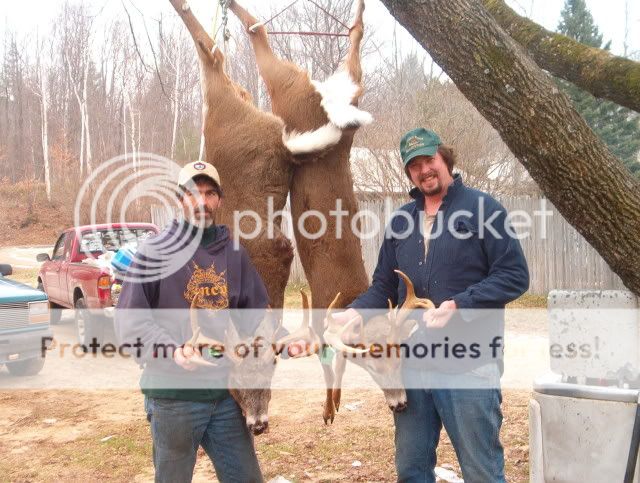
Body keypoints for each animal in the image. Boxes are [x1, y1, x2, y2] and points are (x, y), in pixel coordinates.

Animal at [228, 0, 372, 424]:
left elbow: (333, 370)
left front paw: (332, 408)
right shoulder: (327, 327)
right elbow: (331, 371)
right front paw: (329, 409)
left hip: (295, 89)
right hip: (296, 90)